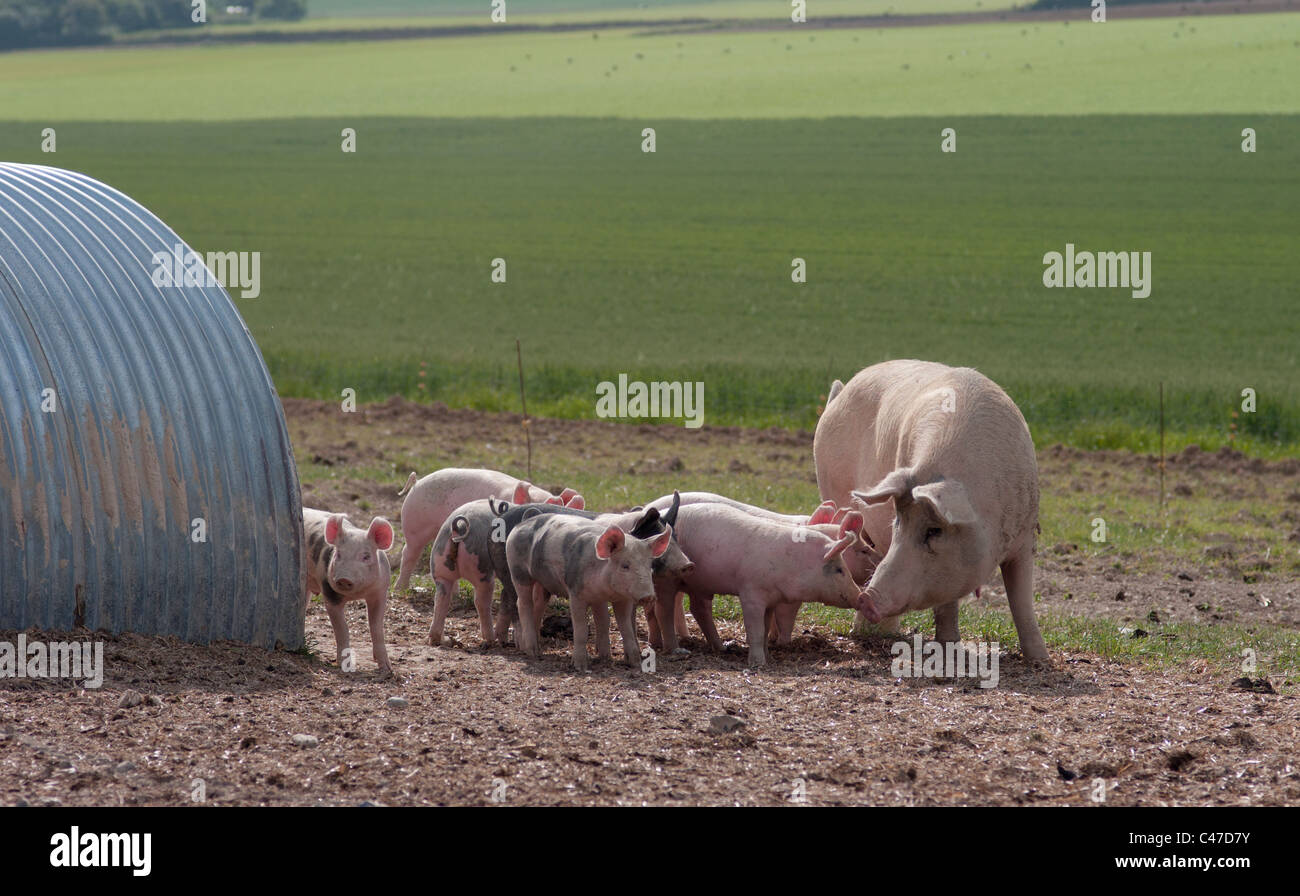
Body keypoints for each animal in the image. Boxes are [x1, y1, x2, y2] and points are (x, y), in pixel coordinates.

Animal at [302, 508, 395, 675]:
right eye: (338, 554)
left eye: (366, 556)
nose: (344, 578)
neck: (356, 595)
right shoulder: (329, 593)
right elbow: (343, 630)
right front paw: (345, 667)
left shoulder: (380, 592)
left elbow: (376, 627)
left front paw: (387, 669)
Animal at [507, 514, 673, 671]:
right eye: (625, 566)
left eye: (649, 566)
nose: (649, 596)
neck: (605, 590)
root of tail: (520, 524)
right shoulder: (575, 592)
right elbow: (582, 629)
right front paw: (580, 667)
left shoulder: (617, 599)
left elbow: (621, 627)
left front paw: (629, 663)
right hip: (518, 571)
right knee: (523, 603)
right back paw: (532, 652)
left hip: (543, 582)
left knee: (538, 604)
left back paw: (538, 647)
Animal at [650, 503, 866, 667]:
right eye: (839, 570)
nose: (861, 596)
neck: (793, 564)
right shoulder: (751, 593)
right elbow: (756, 629)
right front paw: (758, 664)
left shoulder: (771, 600)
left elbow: (765, 628)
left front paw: (769, 659)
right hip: (668, 577)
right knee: (664, 609)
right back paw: (674, 649)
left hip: (700, 585)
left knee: (699, 609)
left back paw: (721, 648)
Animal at [813, 359, 1049, 664]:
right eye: (897, 523)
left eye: (934, 530)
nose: (868, 598)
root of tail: (838, 394)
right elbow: (947, 602)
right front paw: (949, 646)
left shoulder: (1025, 534)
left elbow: (1022, 600)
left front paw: (1041, 659)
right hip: (831, 487)